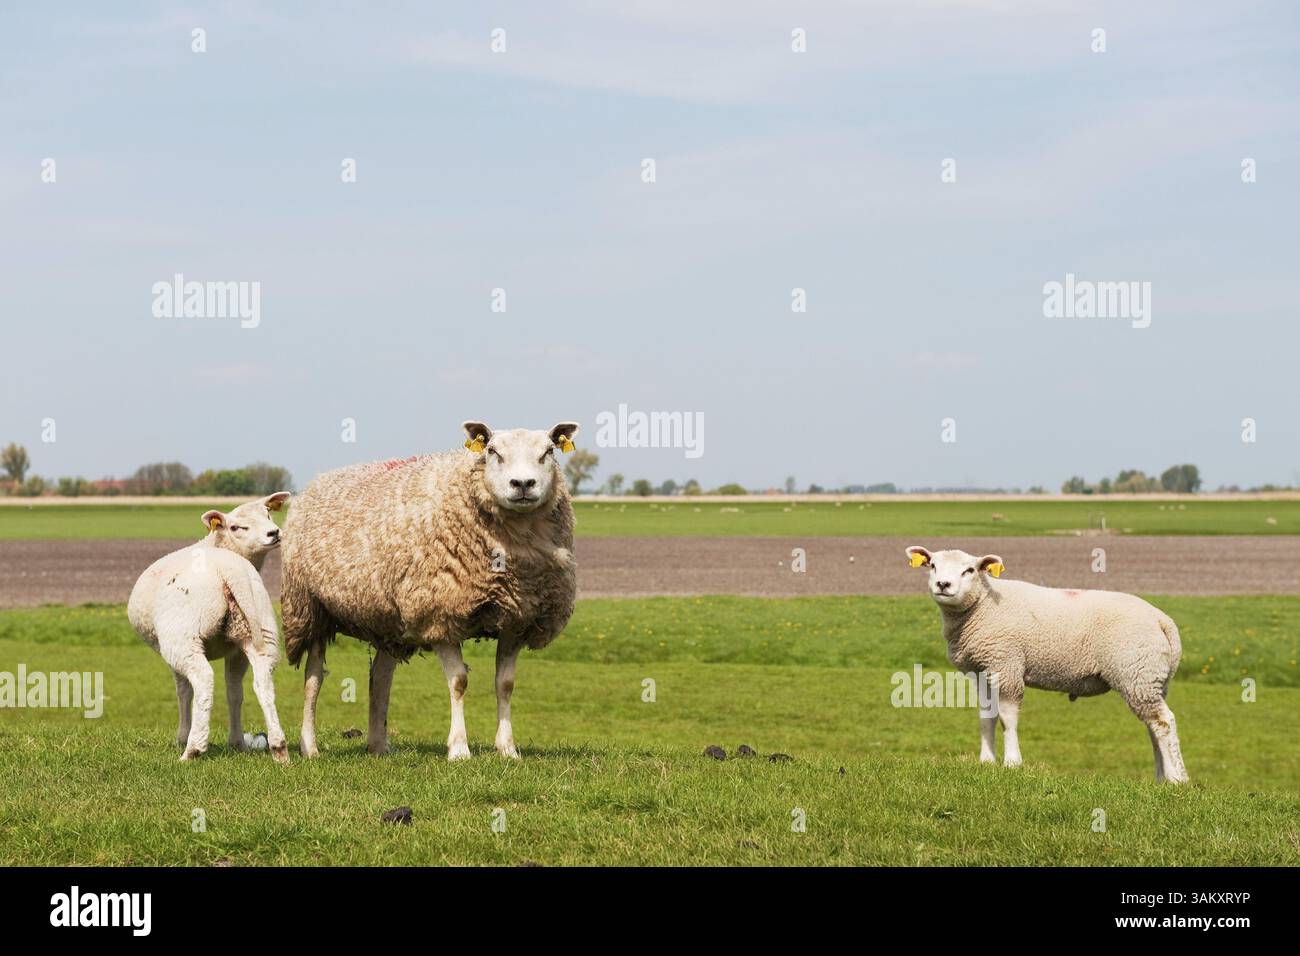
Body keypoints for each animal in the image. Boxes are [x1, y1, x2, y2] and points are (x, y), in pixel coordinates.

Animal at [127, 493, 292, 763]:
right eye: (236, 527)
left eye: (268, 513)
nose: (273, 532)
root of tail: (230, 570)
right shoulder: (234, 651)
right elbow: (234, 693)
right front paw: (237, 744)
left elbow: (183, 691)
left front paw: (182, 736)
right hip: (256, 630)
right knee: (261, 682)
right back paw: (276, 747)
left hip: (181, 638)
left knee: (203, 680)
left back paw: (193, 748)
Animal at [281, 421, 579, 761]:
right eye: (493, 451)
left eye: (548, 452)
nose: (523, 484)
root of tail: (316, 481)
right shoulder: (440, 615)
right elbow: (459, 682)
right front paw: (459, 749)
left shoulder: (517, 619)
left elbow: (505, 684)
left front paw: (507, 748)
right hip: (311, 609)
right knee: (313, 678)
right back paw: (310, 746)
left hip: (390, 619)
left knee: (379, 677)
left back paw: (379, 746)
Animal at [904, 546, 1188, 783]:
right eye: (932, 565)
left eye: (969, 570)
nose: (943, 584)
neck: (981, 606)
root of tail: (1164, 621)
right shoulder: (981, 671)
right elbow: (987, 717)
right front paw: (986, 762)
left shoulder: (1007, 664)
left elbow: (1007, 717)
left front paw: (1012, 763)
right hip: (1152, 679)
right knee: (1153, 725)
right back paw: (1162, 778)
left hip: (1136, 672)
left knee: (1163, 722)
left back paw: (1176, 778)